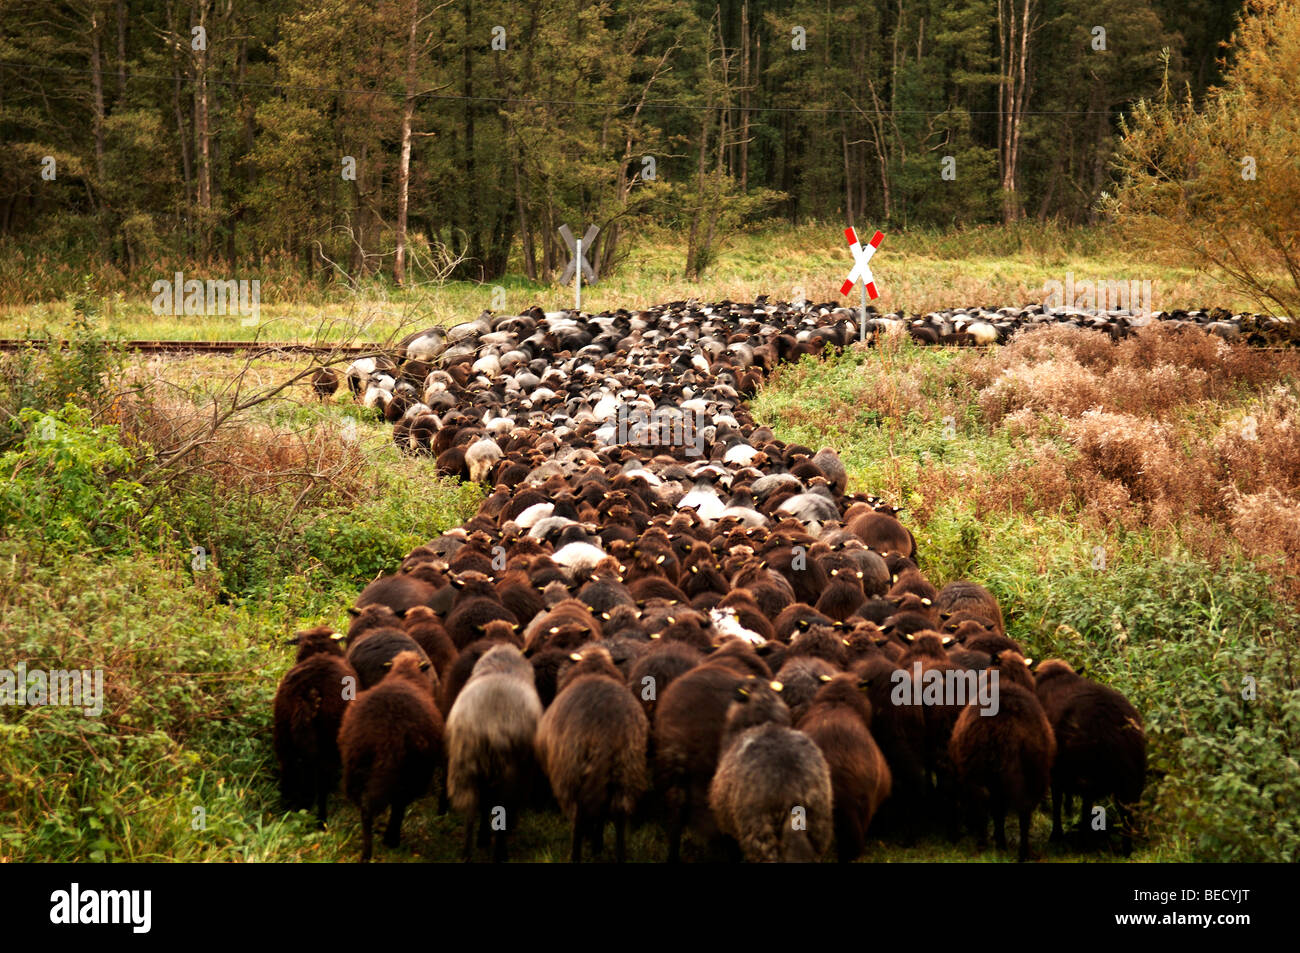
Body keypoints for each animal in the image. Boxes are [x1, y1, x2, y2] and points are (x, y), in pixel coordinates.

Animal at [273, 626, 356, 825]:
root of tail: (308, 690)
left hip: (283, 736)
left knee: (288, 771)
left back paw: (286, 811)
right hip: (327, 743)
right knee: (322, 782)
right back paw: (321, 820)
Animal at [339, 651, 445, 861]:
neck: (405, 675)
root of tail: (388, 734)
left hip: (355, 764)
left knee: (365, 809)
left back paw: (367, 851)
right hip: (412, 771)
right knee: (398, 804)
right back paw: (390, 839)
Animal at [445, 643, 543, 861]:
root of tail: (489, 724)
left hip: (468, 766)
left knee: (473, 811)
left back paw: (469, 851)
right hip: (509, 771)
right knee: (502, 808)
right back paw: (500, 853)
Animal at [535, 645, 650, 862]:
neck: (595, 668)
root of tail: (605, 729)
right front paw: (598, 843)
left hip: (570, 771)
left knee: (578, 816)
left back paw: (576, 854)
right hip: (625, 768)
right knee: (618, 815)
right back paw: (615, 853)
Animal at [1034, 659, 1146, 854]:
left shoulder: (1056, 770)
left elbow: (1057, 800)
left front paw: (1056, 835)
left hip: (1088, 774)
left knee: (1087, 809)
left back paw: (1082, 842)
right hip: (1131, 781)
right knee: (1127, 815)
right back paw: (1126, 851)